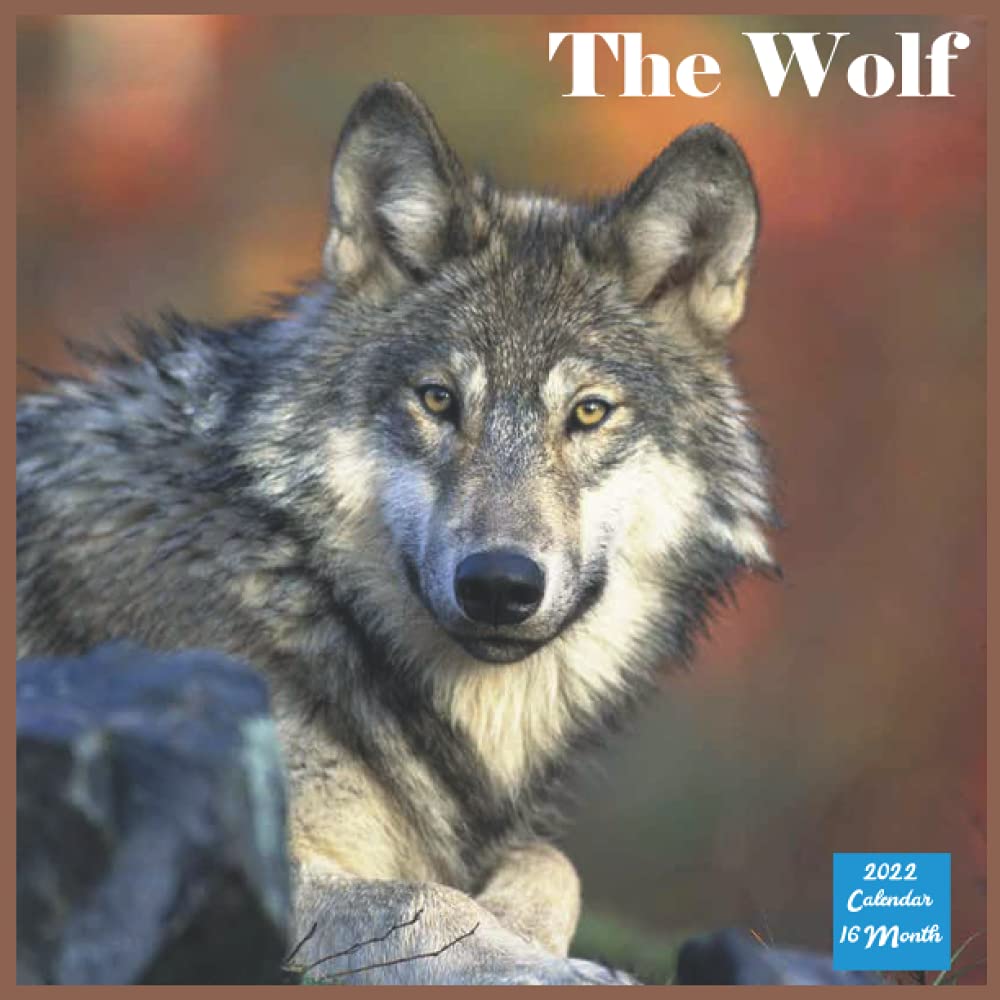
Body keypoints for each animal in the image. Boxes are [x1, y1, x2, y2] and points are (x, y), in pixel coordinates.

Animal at [17, 81, 776, 984]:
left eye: (589, 413)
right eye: (438, 400)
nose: (499, 584)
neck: (300, 584)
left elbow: (552, 862)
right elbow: (428, 903)